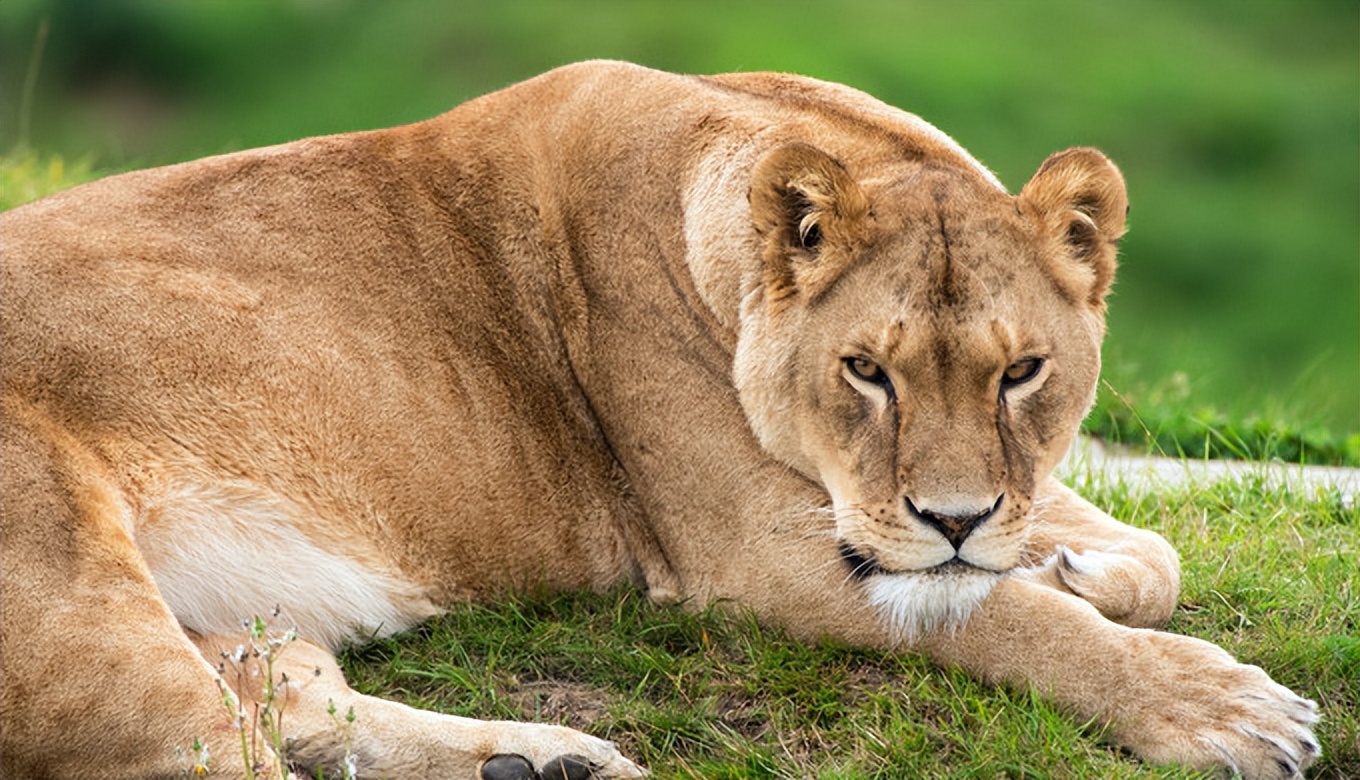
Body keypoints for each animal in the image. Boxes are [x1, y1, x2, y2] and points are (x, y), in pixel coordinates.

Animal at [1, 60, 1318, 779]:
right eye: (866, 371)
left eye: (1021, 372)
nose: (952, 520)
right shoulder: (752, 557)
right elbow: (1001, 620)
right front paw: (1221, 710)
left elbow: (1145, 551)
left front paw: (1076, 564)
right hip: (86, 610)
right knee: (225, 746)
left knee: (286, 696)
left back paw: (541, 761)